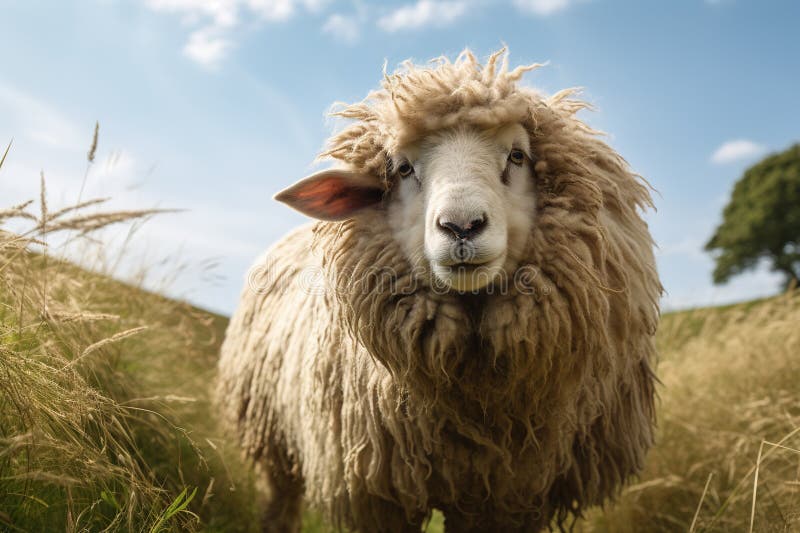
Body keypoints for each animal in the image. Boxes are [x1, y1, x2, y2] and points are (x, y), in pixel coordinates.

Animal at [216, 48, 661, 533]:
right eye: (403, 168)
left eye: (518, 155)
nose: (461, 226)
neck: (477, 394)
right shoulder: (380, 492)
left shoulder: (510, 496)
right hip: (271, 436)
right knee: (279, 498)